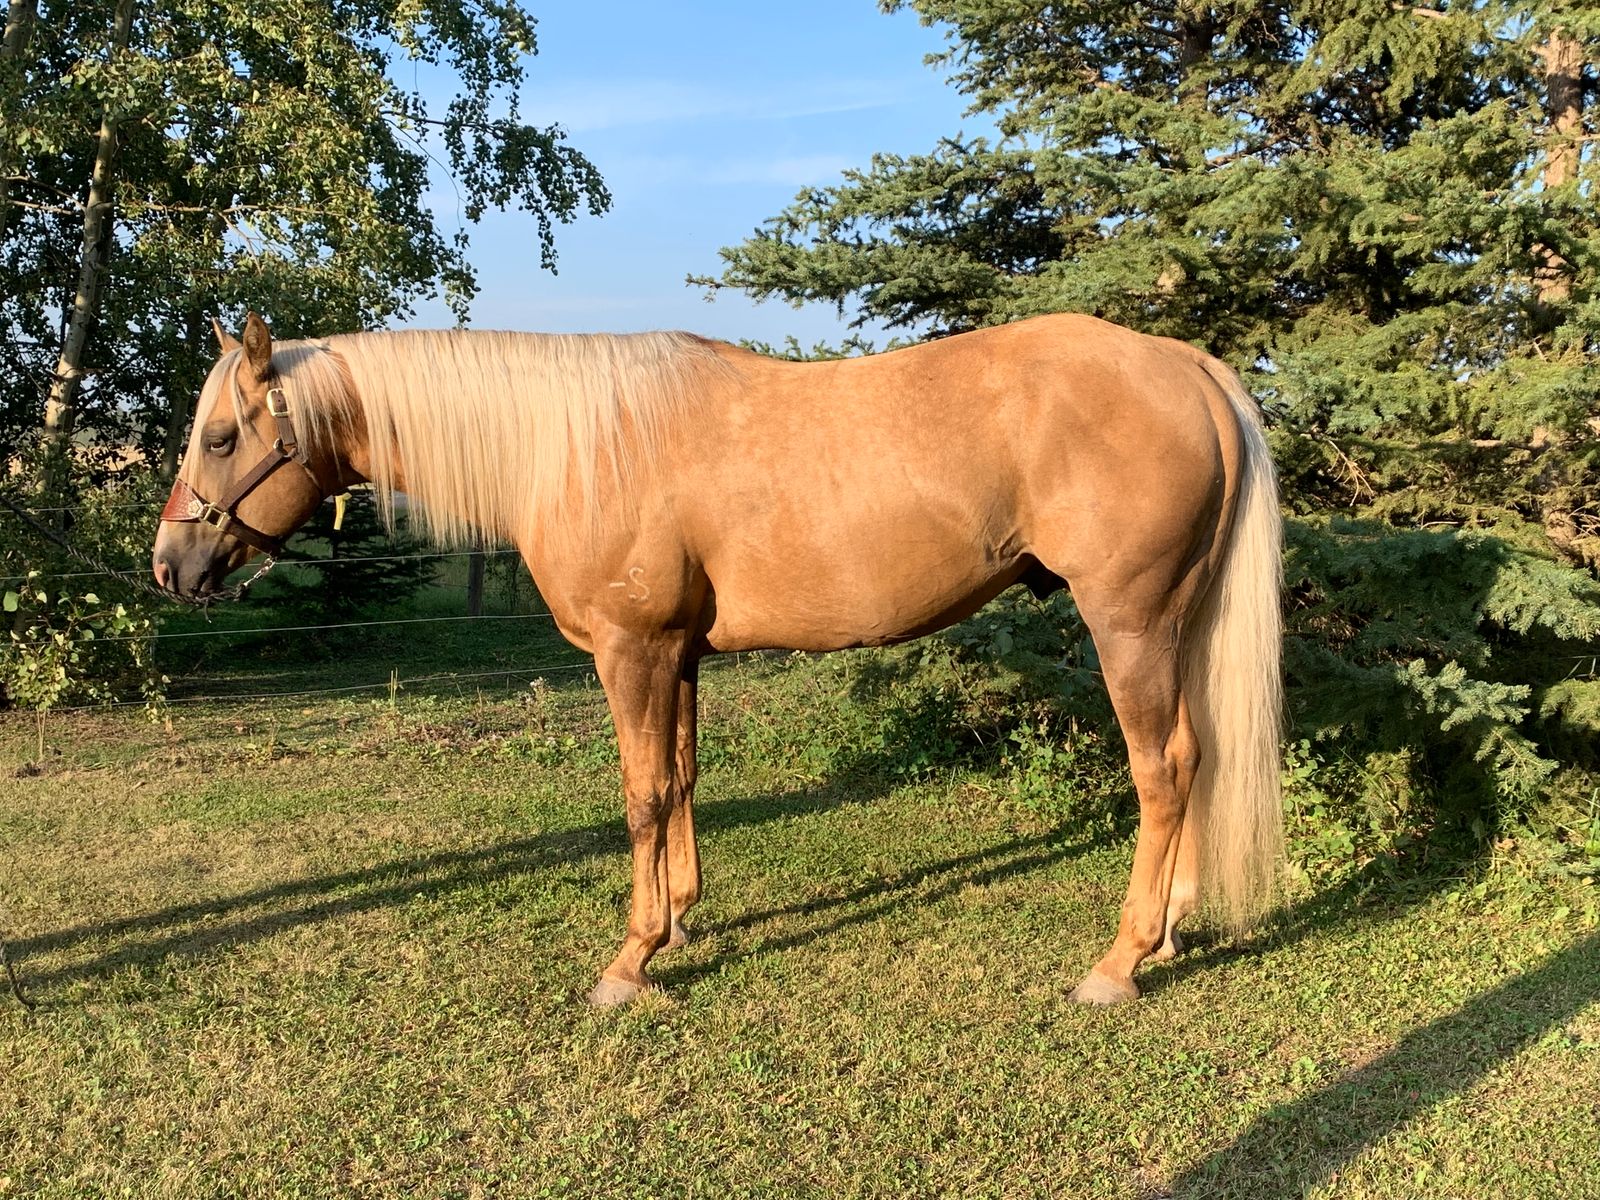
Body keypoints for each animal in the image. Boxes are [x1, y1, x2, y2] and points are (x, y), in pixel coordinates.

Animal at [153, 311, 1283, 1007]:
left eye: (220, 436)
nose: (171, 564)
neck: (582, 445)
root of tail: (1185, 366)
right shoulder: (679, 656)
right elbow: (686, 778)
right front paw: (682, 920)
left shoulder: (632, 652)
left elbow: (643, 794)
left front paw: (630, 959)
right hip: (1176, 624)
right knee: (1198, 756)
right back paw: (1171, 929)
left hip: (1127, 622)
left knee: (1160, 769)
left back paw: (1119, 962)